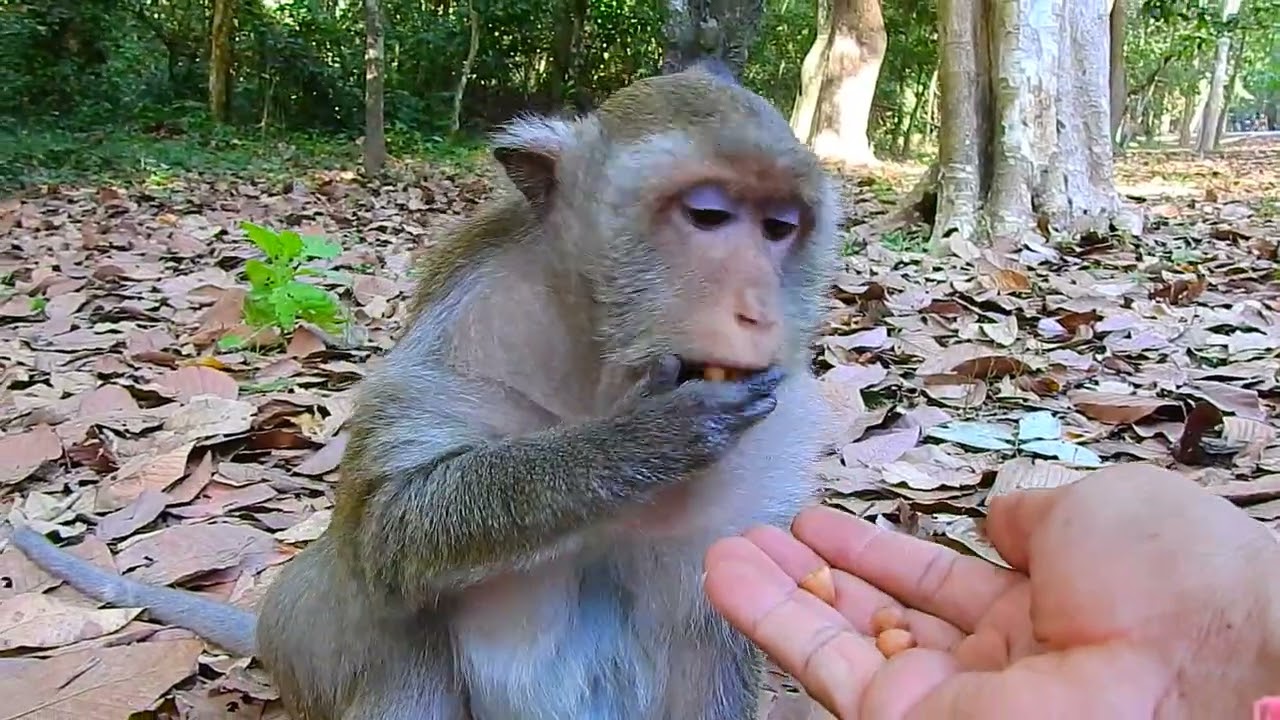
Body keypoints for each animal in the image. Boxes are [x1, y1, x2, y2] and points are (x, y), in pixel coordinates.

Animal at [10, 60, 841, 720]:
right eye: (708, 215)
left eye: (779, 227)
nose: (757, 310)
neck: (598, 364)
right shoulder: (458, 346)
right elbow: (390, 529)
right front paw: (641, 440)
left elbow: (712, 639)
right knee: (391, 627)